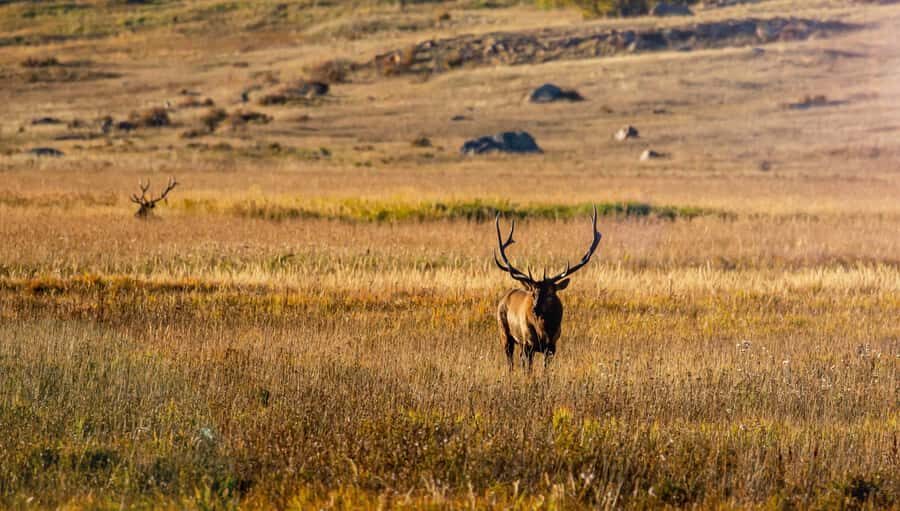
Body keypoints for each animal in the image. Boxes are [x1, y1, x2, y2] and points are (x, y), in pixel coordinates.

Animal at [494, 206, 601, 372]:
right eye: (533, 293)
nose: (535, 309)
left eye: (550, 293)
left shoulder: (552, 346)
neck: (544, 331)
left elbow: (545, 370)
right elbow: (529, 369)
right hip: (504, 333)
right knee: (510, 360)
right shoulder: (528, 343)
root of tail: (504, 297)